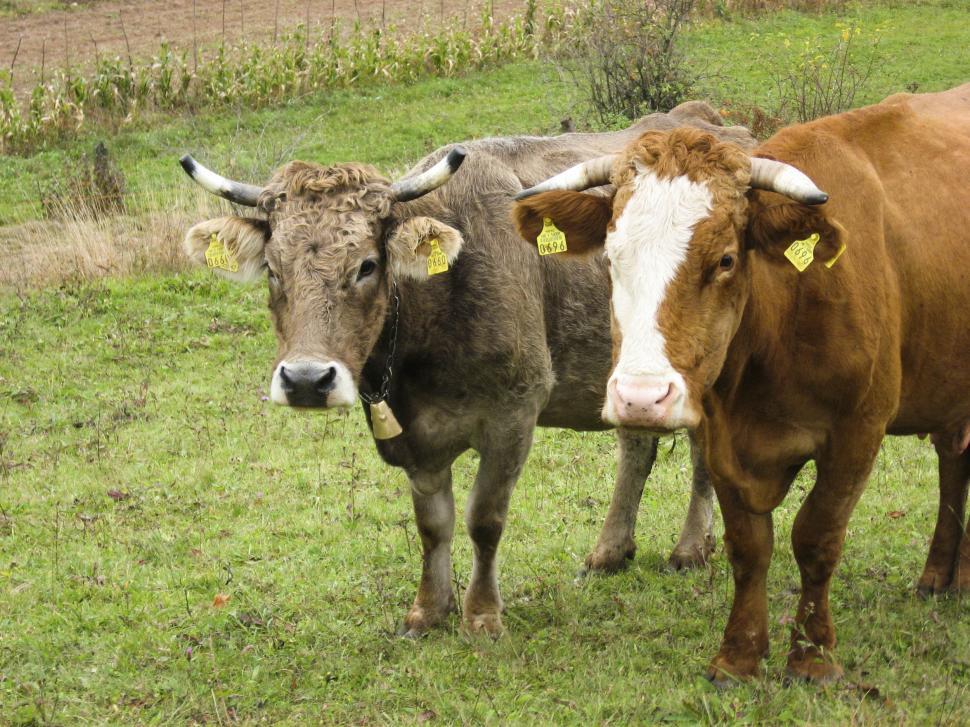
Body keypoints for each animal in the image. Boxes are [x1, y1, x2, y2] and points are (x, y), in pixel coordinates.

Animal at [178, 103, 755, 637]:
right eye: (274, 270)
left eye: (366, 265)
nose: (304, 381)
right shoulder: (415, 436)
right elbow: (433, 525)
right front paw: (428, 610)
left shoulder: (513, 413)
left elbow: (484, 519)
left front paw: (481, 615)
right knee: (637, 448)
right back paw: (610, 551)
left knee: (702, 456)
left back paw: (690, 548)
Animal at [512, 83, 970, 682]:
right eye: (610, 259)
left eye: (726, 259)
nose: (640, 398)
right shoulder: (719, 435)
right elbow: (748, 545)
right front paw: (739, 656)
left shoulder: (858, 432)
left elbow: (817, 536)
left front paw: (812, 657)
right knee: (956, 459)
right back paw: (944, 575)